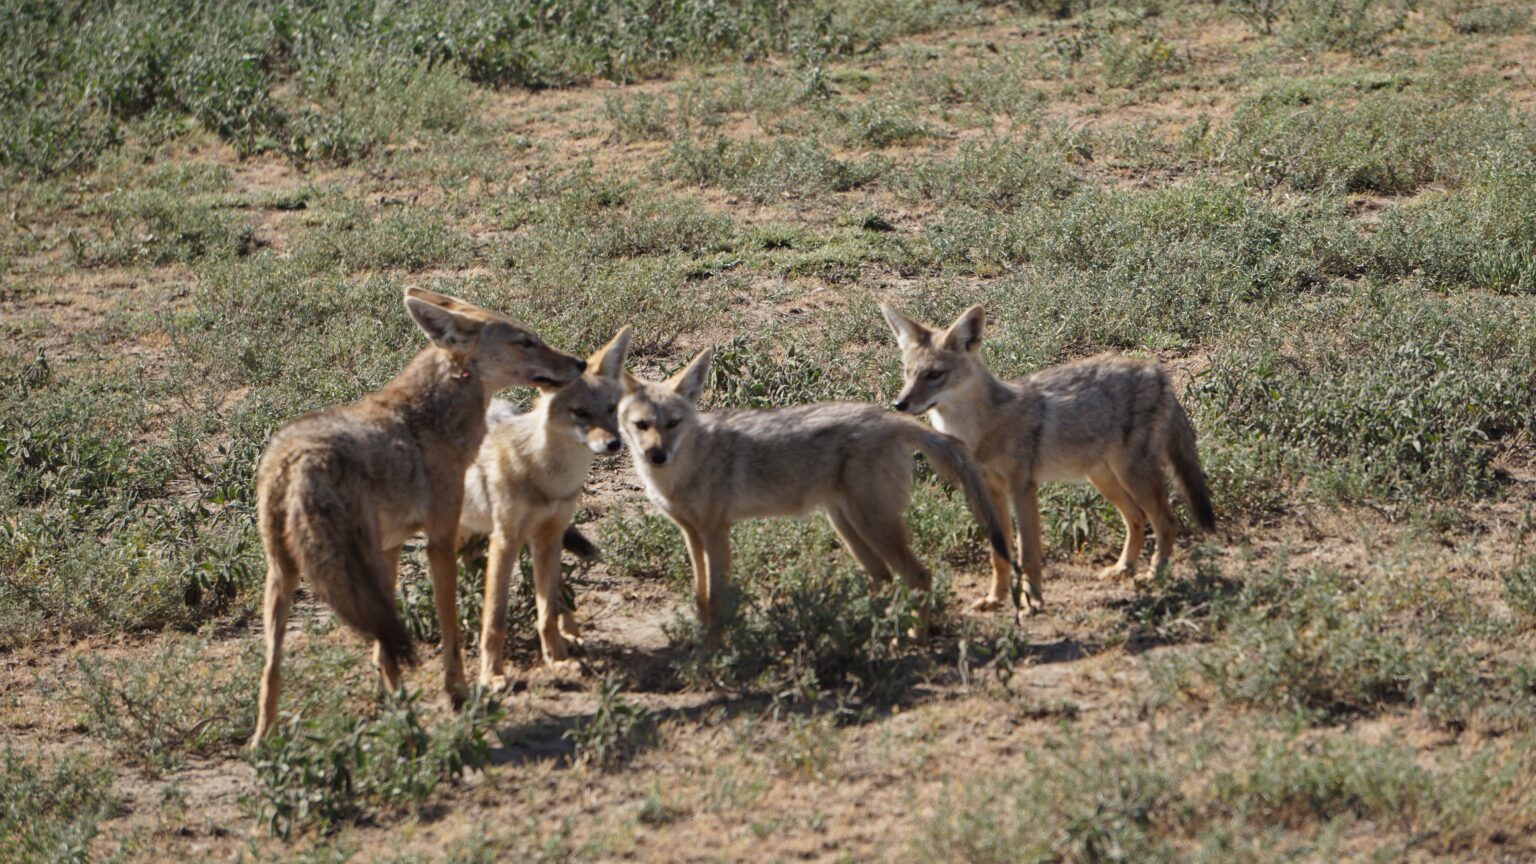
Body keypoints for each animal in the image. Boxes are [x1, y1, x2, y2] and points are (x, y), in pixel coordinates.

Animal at [252, 287, 585, 744]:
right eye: (525, 342)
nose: (580, 363)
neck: (430, 418)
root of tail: (300, 459)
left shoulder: (392, 549)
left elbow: (382, 653)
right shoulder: (439, 543)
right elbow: (451, 631)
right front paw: (460, 692)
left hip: (284, 576)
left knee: (272, 669)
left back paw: (265, 741)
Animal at [457, 326, 632, 685]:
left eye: (611, 408)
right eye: (580, 412)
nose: (614, 444)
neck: (547, 475)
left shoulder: (549, 536)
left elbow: (547, 611)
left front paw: (558, 659)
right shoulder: (505, 541)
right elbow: (495, 618)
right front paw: (492, 675)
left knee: (555, 592)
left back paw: (573, 636)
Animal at [618, 348, 1014, 632]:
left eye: (673, 423)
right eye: (642, 425)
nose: (657, 455)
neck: (682, 470)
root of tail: (889, 416)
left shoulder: (716, 532)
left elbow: (716, 599)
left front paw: (717, 651)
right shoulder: (691, 533)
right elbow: (701, 597)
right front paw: (702, 645)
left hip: (872, 524)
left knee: (918, 576)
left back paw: (912, 641)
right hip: (847, 525)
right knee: (882, 576)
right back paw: (872, 633)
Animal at [881, 303, 1215, 616]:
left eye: (935, 374)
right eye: (908, 372)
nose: (899, 404)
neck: (981, 428)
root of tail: (1155, 370)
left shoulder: (1023, 489)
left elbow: (1028, 553)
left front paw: (1033, 603)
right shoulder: (991, 492)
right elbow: (999, 555)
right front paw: (994, 599)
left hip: (1133, 476)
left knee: (1166, 521)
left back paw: (1155, 575)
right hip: (1106, 479)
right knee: (1137, 518)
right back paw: (1123, 568)